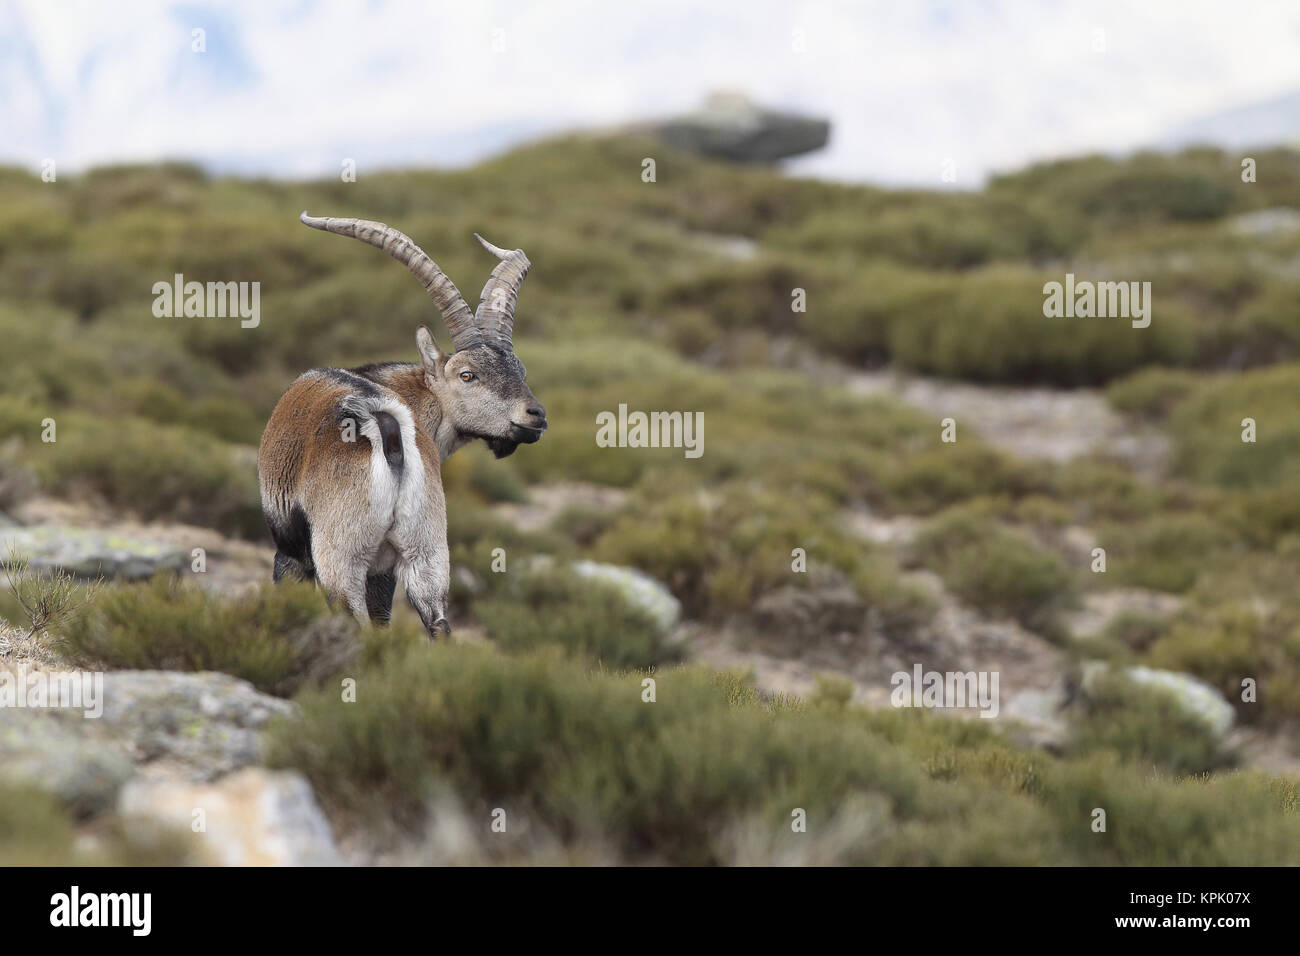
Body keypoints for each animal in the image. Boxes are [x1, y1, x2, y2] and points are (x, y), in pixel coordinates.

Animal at [258, 213, 547, 637]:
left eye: (519, 371)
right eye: (468, 375)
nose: (535, 416)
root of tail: (384, 421)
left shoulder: (289, 549)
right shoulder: (388, 566)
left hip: (341, 556)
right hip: (427, 548)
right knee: (438, 623)